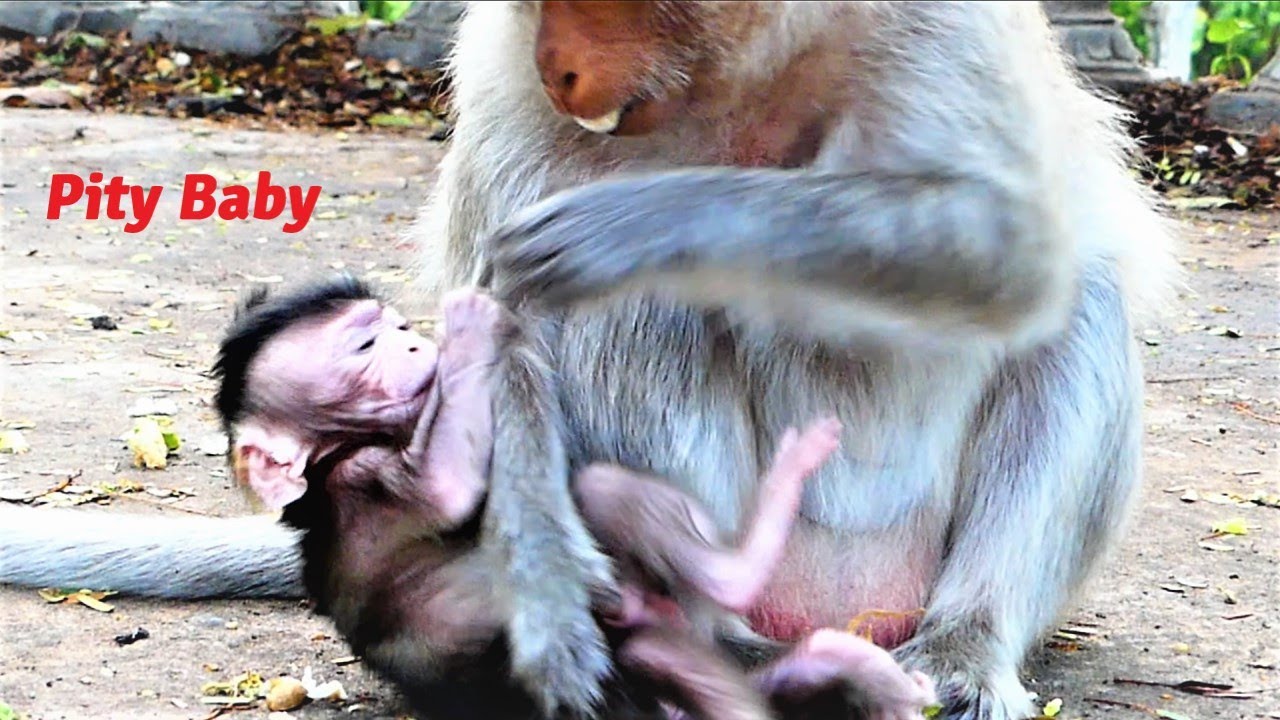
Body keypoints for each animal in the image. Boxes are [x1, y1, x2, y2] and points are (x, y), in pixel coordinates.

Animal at [211, 275, 936, 720]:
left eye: (392, 328)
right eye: (367, 342)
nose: (415, 339)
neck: (344, 453)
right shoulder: (366, 480)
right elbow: (444, 488)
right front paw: (471, 320)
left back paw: (884, 684)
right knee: (652, 645)